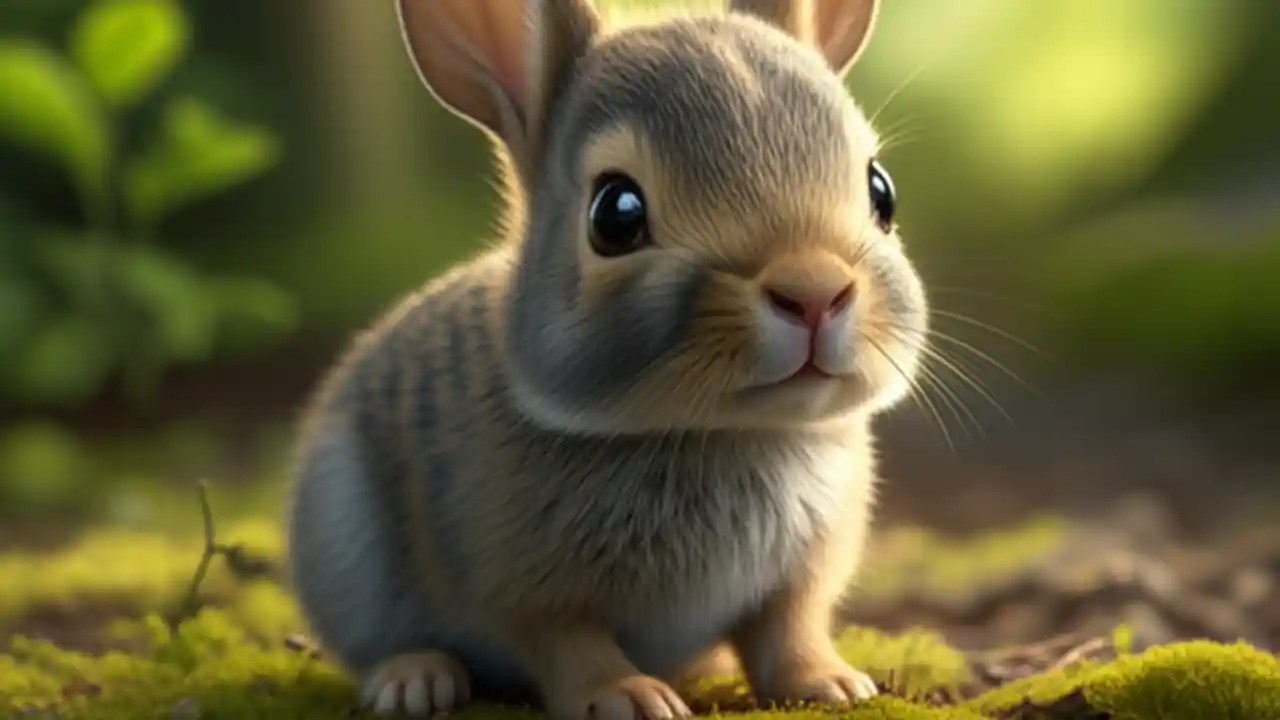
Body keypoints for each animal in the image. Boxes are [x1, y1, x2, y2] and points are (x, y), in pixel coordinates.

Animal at [286, 0, 929, 718]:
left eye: (881, 191)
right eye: (615, 213)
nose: (814, 290)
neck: (722, 431)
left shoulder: (797, 581)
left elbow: (787, 632)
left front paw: (832, 684)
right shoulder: (532, 592)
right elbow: (571, 646)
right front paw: (626, 697)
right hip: (345, 543)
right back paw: (414, 680)